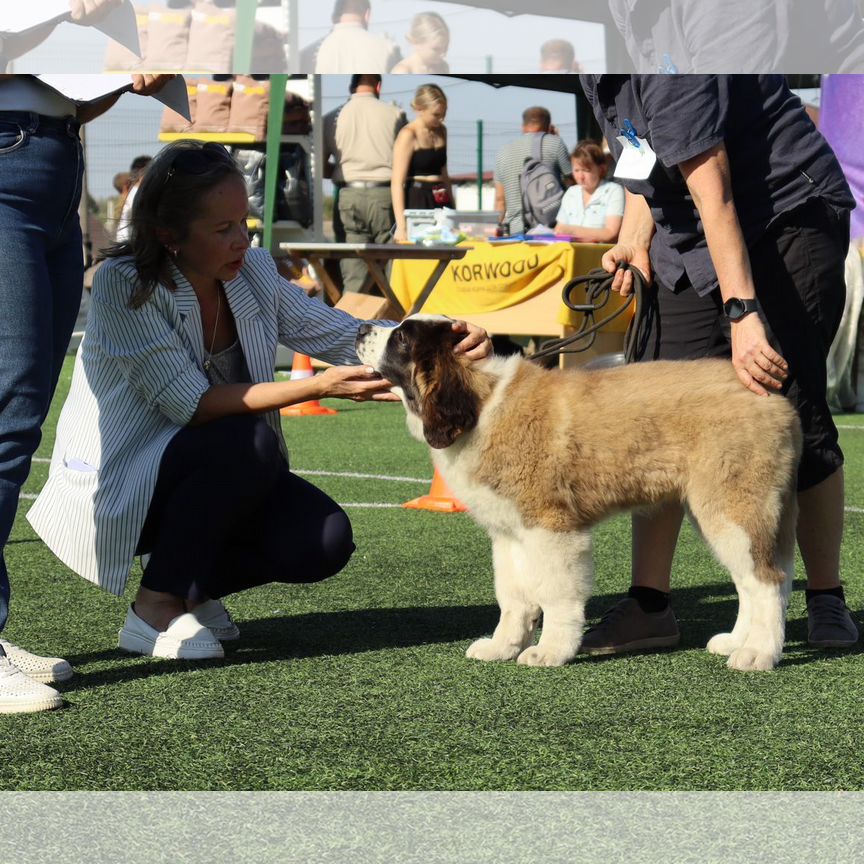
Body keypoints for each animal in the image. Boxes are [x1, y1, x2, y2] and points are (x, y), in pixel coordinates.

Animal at [354, 314, 800, 672]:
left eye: (402, 338)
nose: (360, 329)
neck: (484, 402)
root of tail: (772, 396)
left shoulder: (552, 527)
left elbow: (554, 593)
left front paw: (551, 650)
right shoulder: (510, 533)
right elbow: (513, 595)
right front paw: (503, 646)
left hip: (732, 506)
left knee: (767, 580)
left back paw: (759, 653)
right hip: (726, 512)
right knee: (751, 580)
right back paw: (738, 640)